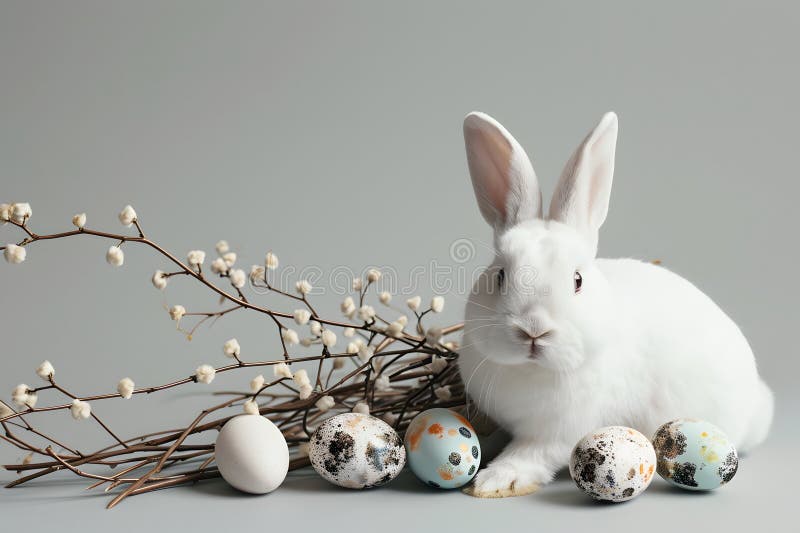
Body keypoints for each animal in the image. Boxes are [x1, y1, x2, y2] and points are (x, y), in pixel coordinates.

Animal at [458, 111, 774, 498]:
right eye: (500, 276)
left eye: (577, 280)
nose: (534, 330)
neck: (533, 371)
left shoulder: (558, 432)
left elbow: (532, 454)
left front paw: (495, 480)